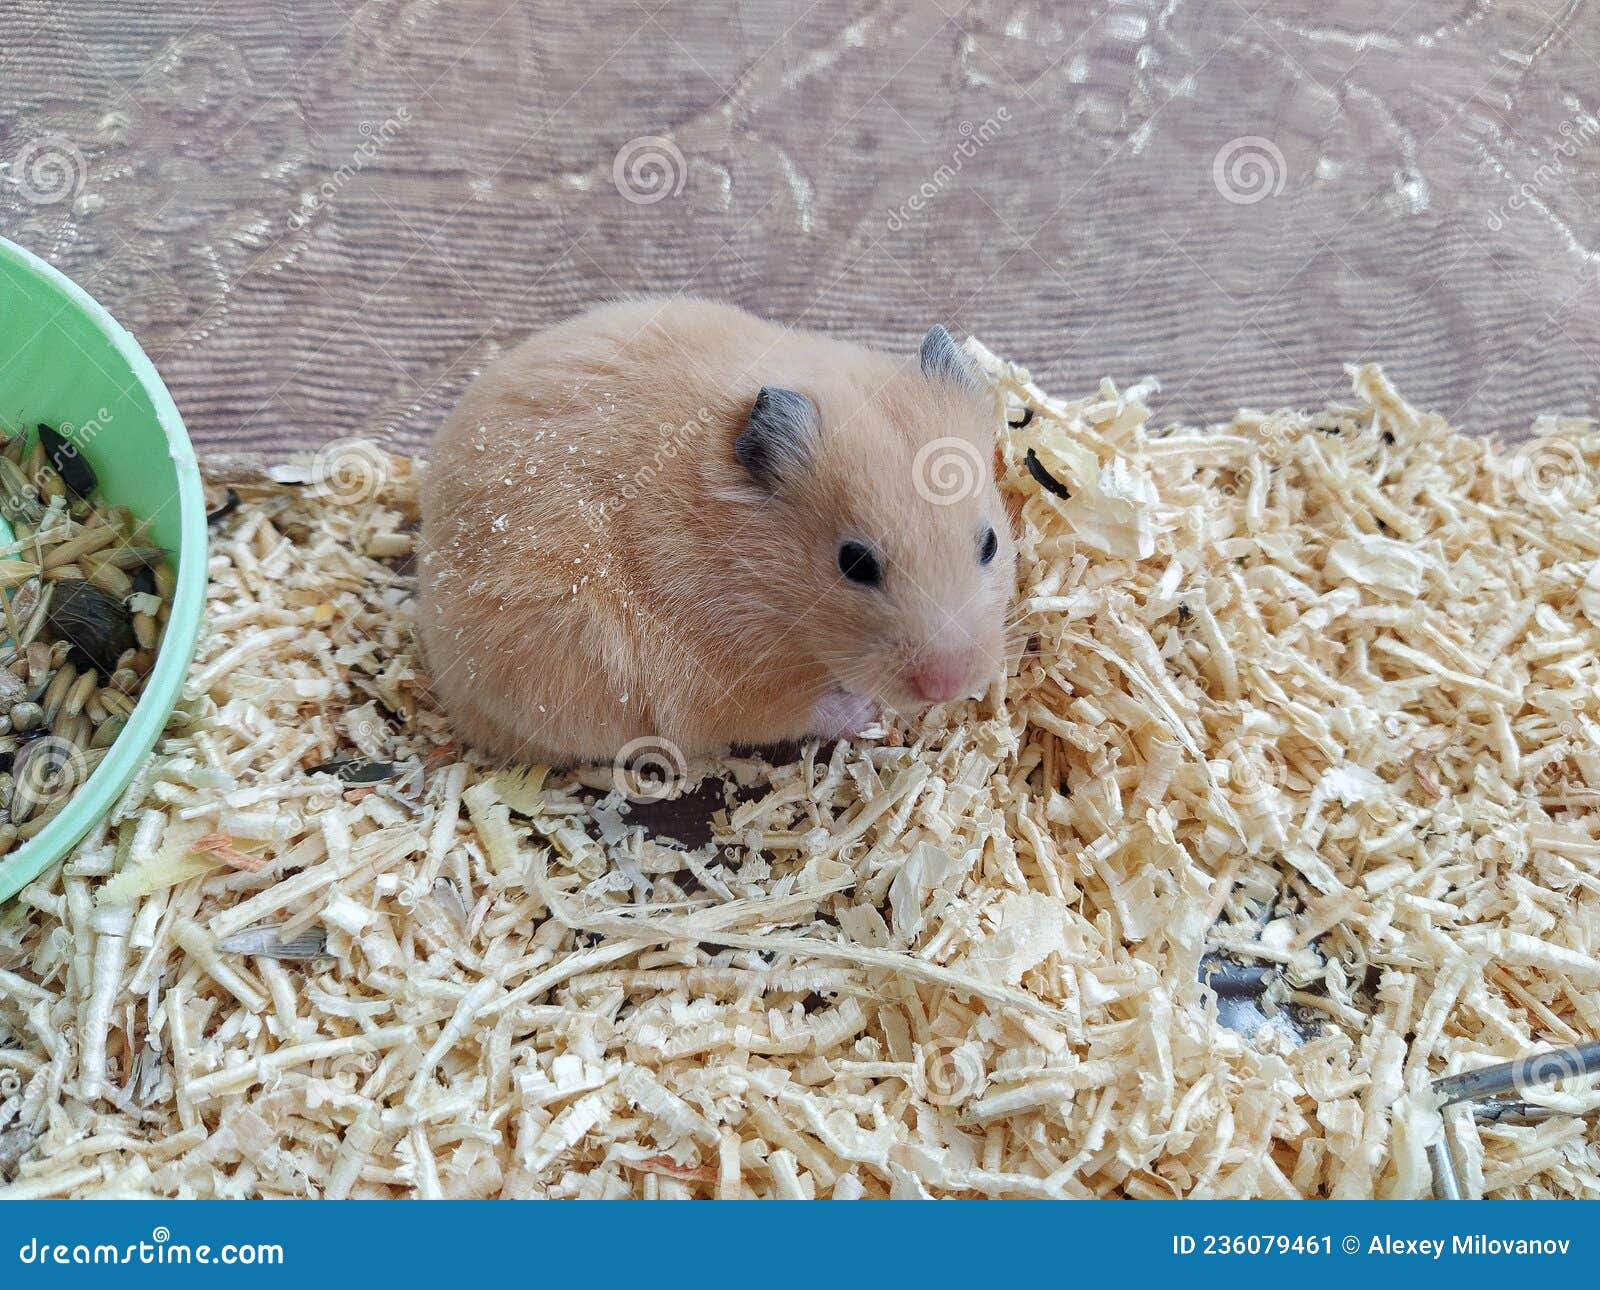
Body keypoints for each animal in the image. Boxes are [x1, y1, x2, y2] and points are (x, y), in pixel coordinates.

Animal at [418, 297, 1016, 765]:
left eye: (990, 544)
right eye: (855, 563)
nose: (949, 685)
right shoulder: (728, 684)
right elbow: (803, 709)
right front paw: (867, 714)